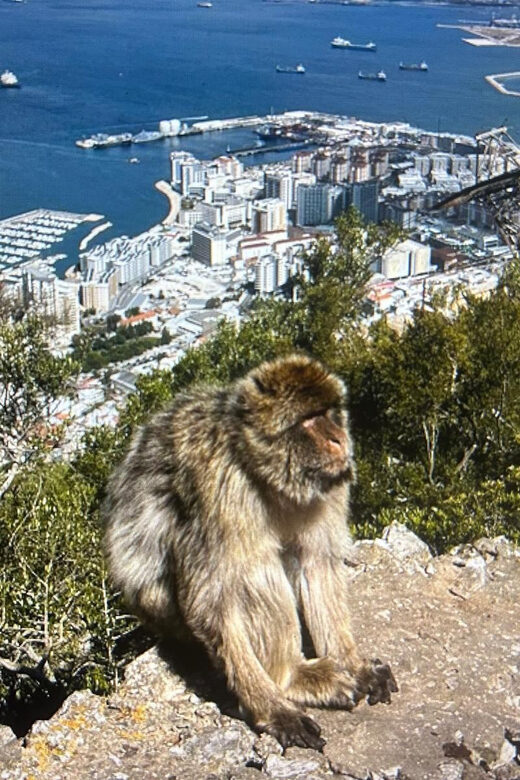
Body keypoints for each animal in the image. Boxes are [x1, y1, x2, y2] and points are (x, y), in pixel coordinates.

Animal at [103, 354, 397, 750]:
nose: (340, 439)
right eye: (308, 420)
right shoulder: (219, 492)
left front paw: (356, 664)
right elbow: (211, 604)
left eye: (329, 412)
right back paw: (292, 677)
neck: (261, 474)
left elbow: (318, 564)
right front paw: (273, 709)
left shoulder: (328, 488)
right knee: (256, 571)